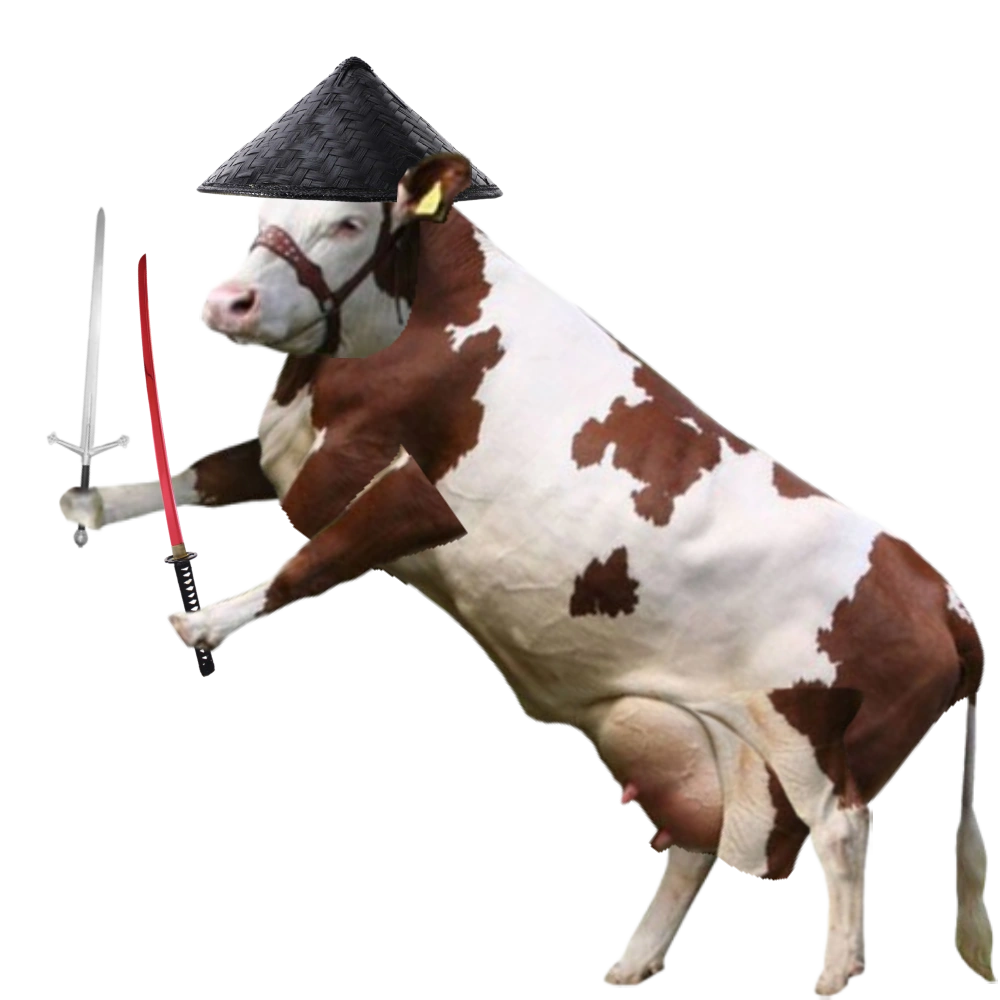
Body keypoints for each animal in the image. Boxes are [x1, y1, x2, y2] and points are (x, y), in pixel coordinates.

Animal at [58, 153, 993, 993]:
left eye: (352, 222)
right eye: (261, 207)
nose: (230, 301)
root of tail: (944, 599)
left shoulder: (413, 499)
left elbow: (308, 559)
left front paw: (206, 620)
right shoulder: (295, 452)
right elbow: (195, 475)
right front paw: (92, 501)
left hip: (821, 757)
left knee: (841, 853)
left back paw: (827, 980)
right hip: (719, 743)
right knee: (702, 843)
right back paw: (630, 966)